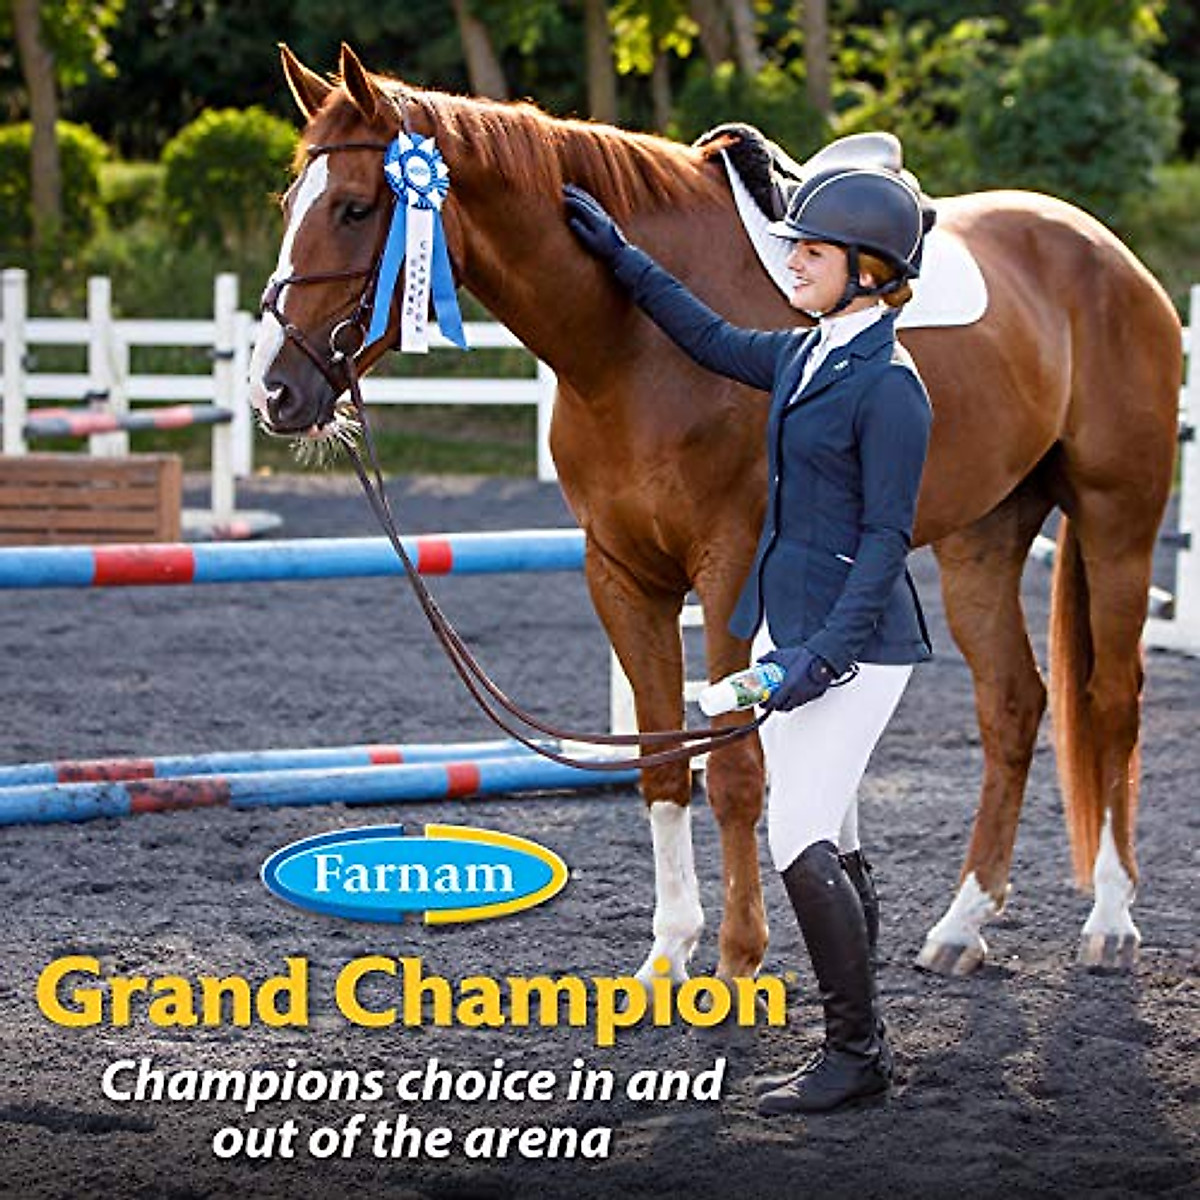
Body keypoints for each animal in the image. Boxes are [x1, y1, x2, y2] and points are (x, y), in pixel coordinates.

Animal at [249, 43, 1181, 982]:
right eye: (287, 205)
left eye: (355, 206)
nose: (275, 391)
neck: (629, 347)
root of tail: (1111, 255)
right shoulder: (621, 573)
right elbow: (664, 768)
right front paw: (667, 957)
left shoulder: (731, 569)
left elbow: (735, 769)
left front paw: (738, 960)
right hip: (983, 538)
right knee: (1013, 704)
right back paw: (962, 925)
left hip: (1117, 521)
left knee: (1110, 700)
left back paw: (1110, 918)